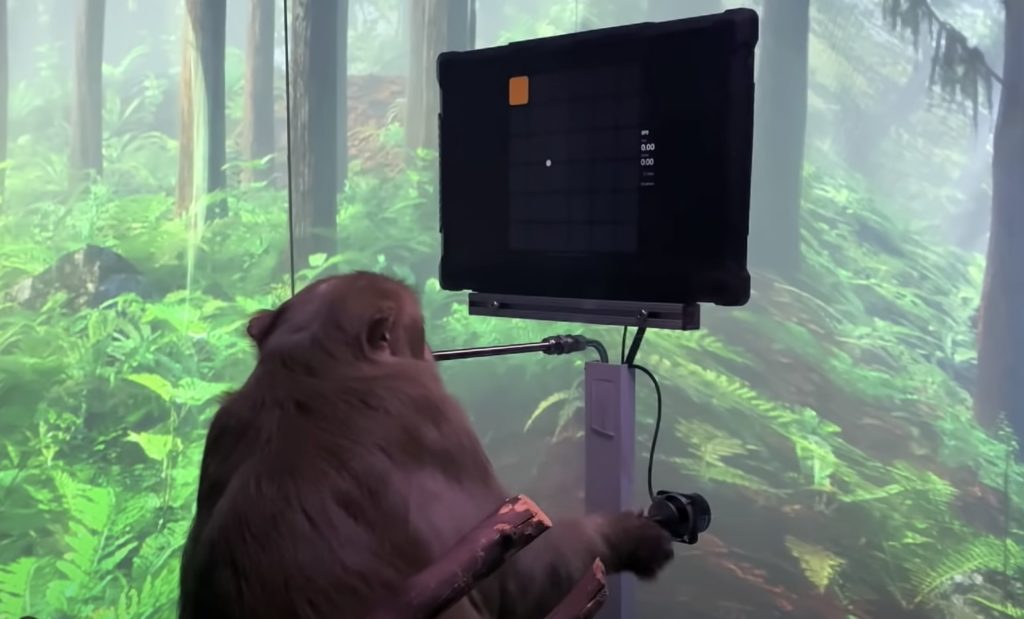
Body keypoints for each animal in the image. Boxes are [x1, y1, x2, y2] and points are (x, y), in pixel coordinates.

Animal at [178, 271, 674, 619]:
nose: (431, 352)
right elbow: (522, 575)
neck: (307, 372)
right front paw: (629, 535)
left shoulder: (226, 424)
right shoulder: (435, 421)